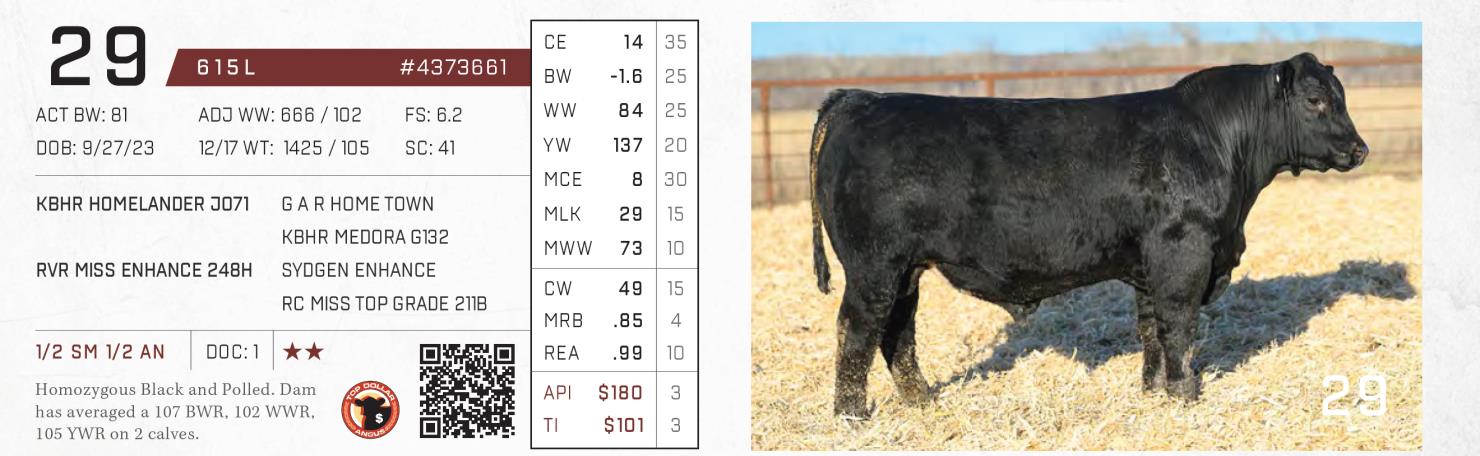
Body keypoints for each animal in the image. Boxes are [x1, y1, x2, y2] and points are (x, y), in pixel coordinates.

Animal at [809, 53, 1368, 420]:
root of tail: (859, 98)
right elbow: (1179, 327)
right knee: (856, 331)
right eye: (1315, 100)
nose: (1359, 149)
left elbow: (1152, 331)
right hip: (874, 266)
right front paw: (1185, 394)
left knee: (896, 334)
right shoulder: (1183, 253)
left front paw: (1153, 392)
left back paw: (923, 401)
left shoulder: (1150, 264)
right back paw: (851, 415)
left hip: (904, 270)